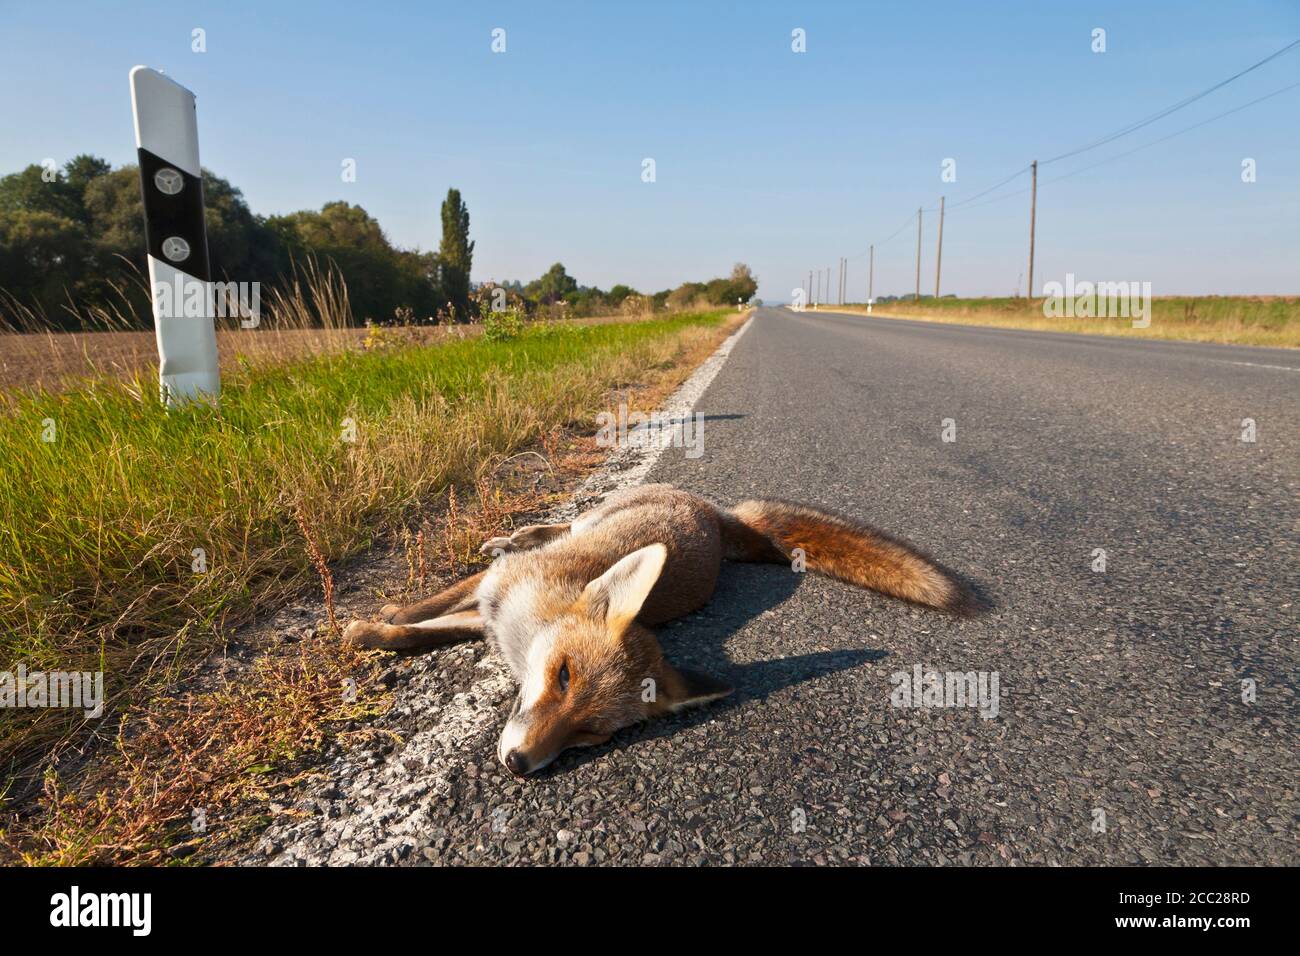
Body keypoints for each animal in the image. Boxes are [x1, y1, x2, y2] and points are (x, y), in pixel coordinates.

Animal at [343, 483, 972, 776]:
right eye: (563, 675)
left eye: (590, 734)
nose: (519, 765)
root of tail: (717, 519)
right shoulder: (488, 594)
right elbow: (426, 615)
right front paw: (384, 620)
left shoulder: (486, 618)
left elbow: (429, 631)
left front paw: (374, 630)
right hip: (601, 512)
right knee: (568, 523)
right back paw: (521, 532)